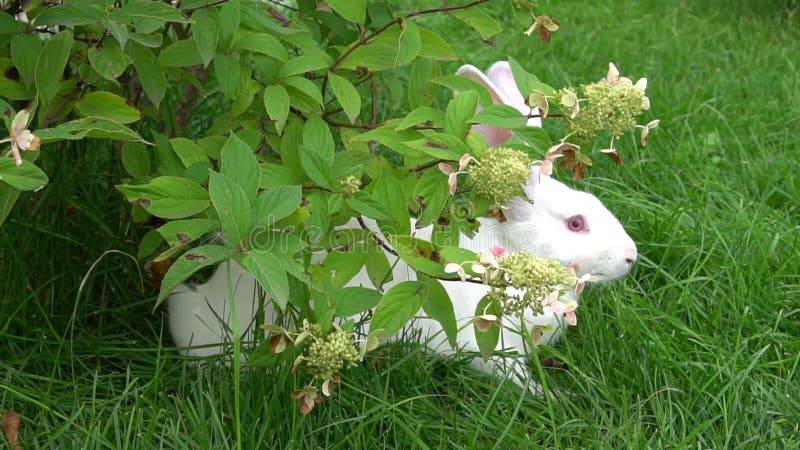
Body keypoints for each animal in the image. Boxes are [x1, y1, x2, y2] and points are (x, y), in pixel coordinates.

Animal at [167, 61, 638, 390]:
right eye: (576, 223)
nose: (632, 257)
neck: (512, 259)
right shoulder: (488, 343)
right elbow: (512, 375)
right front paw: (549, 397)